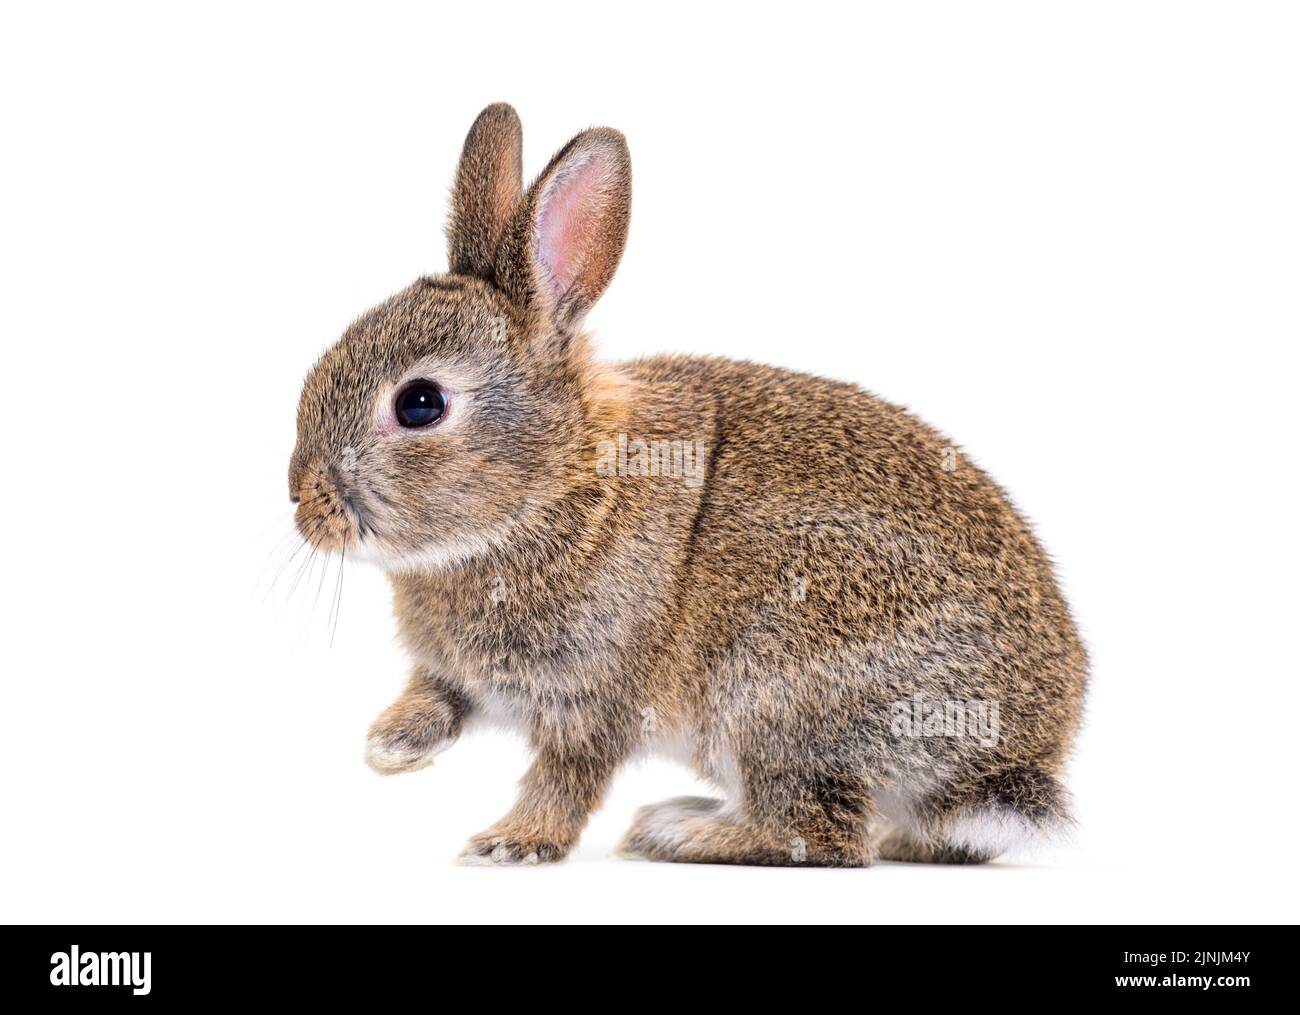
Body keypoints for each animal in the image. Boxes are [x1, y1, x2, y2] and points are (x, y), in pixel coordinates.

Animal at [288, 103, 1087, 867]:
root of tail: (1016, 757)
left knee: (823, 835)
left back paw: (677, 832)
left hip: (774, 695)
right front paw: (388, 748)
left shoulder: (594, 698)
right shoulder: (459, 676)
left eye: (420, 403)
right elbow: (436, 699)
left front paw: (510, 842)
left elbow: (567, 778)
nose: (302, 502)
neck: (557, 486)